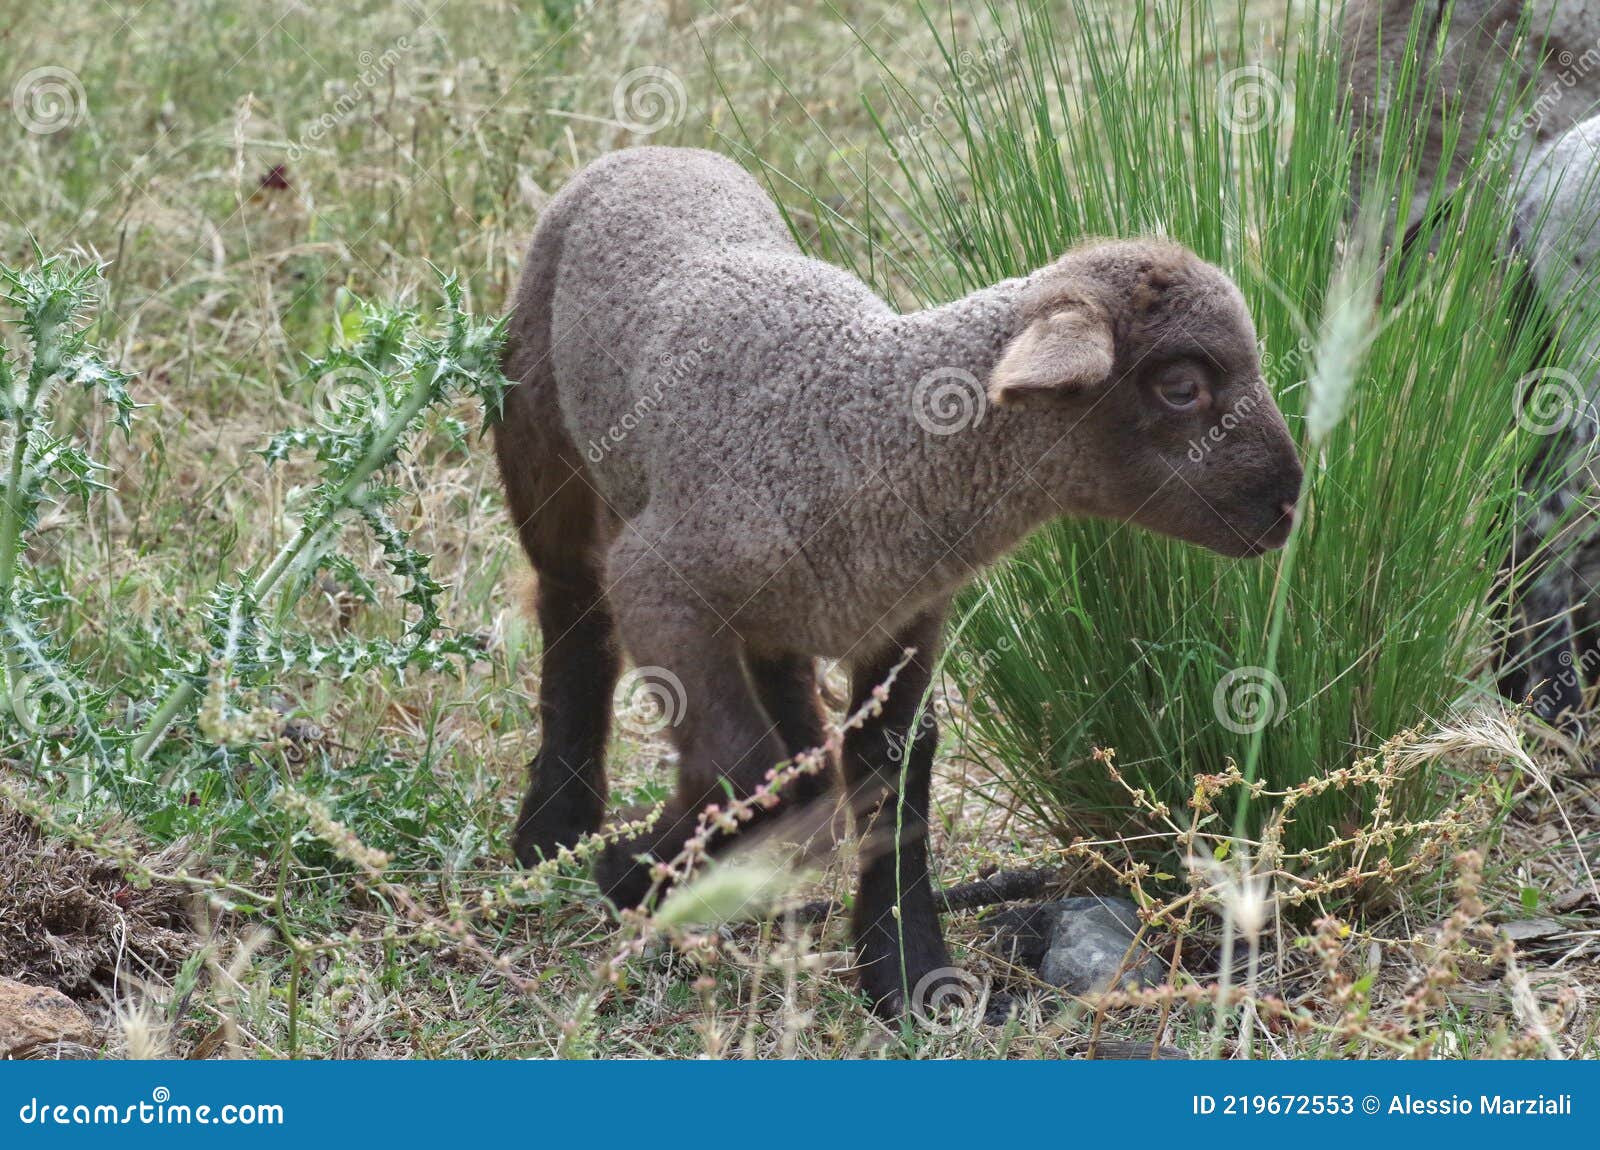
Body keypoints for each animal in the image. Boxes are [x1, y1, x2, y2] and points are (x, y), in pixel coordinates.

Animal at [493, 146, 1303, 1014]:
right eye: (1182, 387)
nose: (1290, 502)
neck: (866, 437)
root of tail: (654, 151)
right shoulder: (660, 582)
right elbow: (740, 764)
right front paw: (635, 870)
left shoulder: (907, 618)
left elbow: (896, 767)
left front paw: (908, 972)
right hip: (540, 434)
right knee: (574, 612)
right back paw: (554, 826)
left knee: (788, 699)